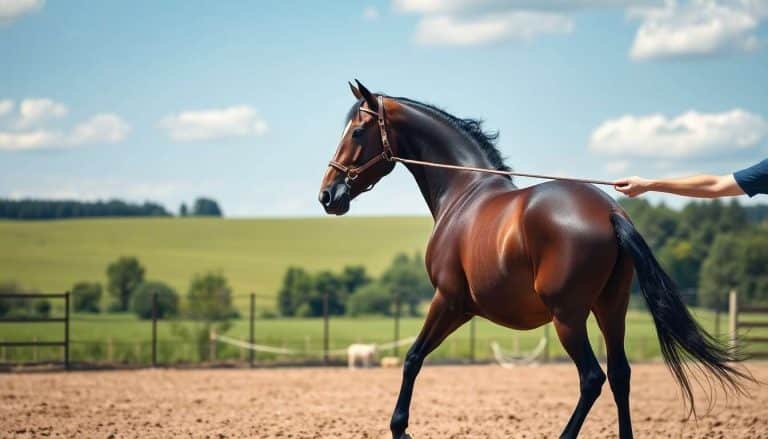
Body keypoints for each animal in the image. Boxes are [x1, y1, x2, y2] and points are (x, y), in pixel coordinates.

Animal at [318, 80, 750, 439]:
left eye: (356, 131)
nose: (327, 194)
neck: (464, 192)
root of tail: (609, 211)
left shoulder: (449, 302)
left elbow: (412, 358)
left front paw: (400, 427)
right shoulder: (462, 309)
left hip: (568, 316)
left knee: (592, 378)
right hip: (611, 308)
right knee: (620, 375)